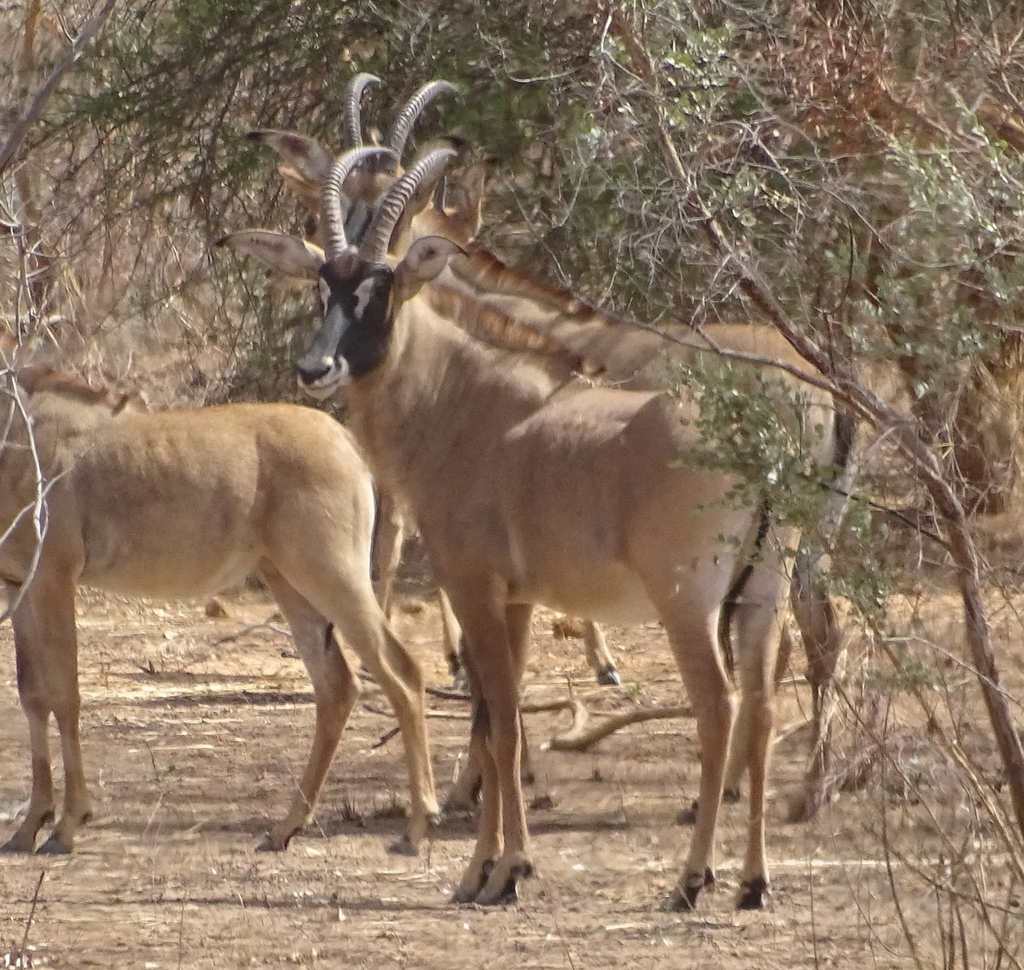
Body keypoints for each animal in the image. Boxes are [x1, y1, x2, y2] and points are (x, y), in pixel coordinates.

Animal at [0, 364, 438, 855]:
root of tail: (349, 443)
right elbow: (32, 694)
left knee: (402, 672)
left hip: (333, 575)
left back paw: (417, 826)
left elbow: (65, 694)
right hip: (289, 583)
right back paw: (285, 827)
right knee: (336, 686)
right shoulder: (18, 586)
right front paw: (28, 825)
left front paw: (68, 824)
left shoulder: (54, 577)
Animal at [220, 148, 840, 910]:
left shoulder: (473, 586)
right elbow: (501, 723)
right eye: (323, 285)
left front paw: (496, 870)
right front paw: (497, 864)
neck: (463, 399)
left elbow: (499, 724)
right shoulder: (515, 599)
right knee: (764, 702)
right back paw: (754, 881)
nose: (316, 367)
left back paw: (692, 878)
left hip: (686, 599)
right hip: (763, 588)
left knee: (720, 706)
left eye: (382, 285)